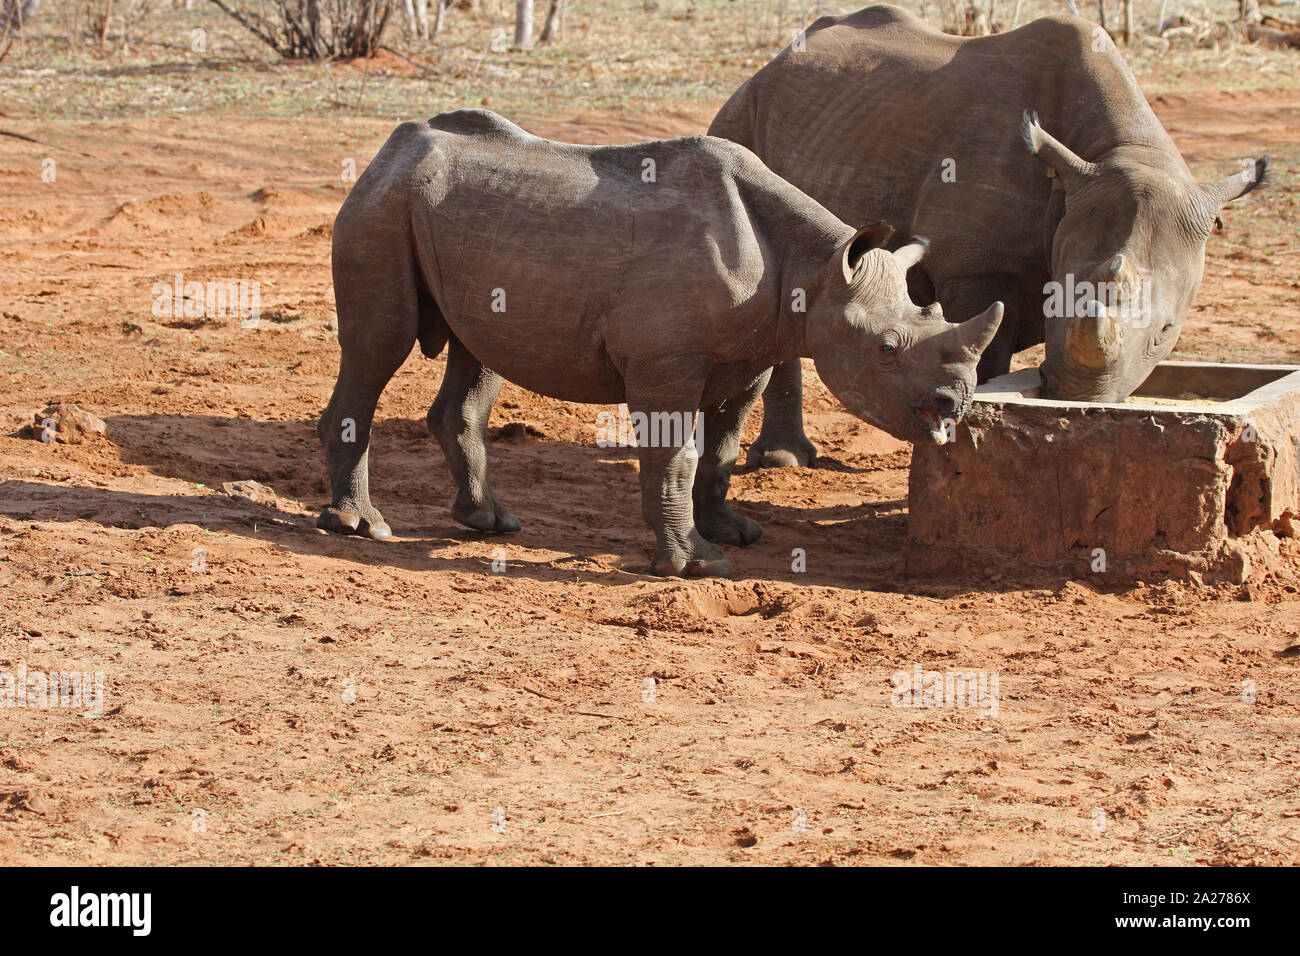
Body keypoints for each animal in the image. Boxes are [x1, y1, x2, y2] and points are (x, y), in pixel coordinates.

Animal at [317, 109, 1003, 577]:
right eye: (886, 349)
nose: (956, 403)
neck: (818, 270)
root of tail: (392, 146)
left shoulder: (750, 355)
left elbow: (722, 448)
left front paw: (733, 533)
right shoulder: (664, 361)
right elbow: (676, 455)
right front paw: (695, 564)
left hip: (438, 215)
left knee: (476, 352)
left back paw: (490, 522)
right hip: (382, 207)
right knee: (378, 344)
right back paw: (360, 527)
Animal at [709, 4, 1268, 467]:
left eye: (1166, 333)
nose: (1082, 398)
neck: (1120, 152)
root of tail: (773, 62)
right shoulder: (978, 265)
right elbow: (986, 352)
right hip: (742, 114)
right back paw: (785, 460)